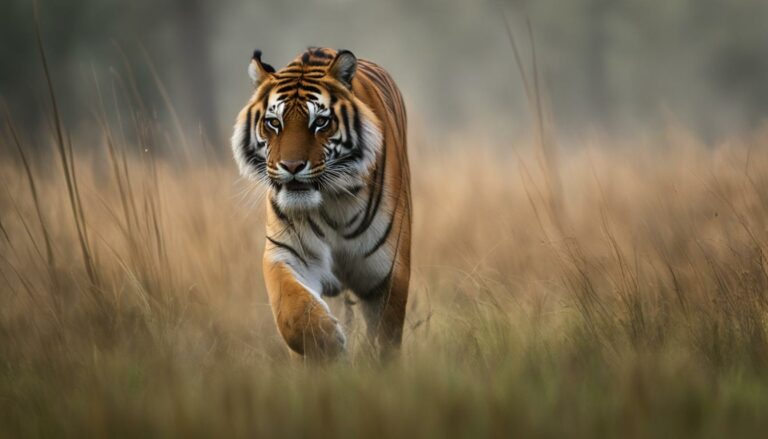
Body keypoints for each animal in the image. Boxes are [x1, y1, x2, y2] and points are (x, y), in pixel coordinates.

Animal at [230, 47, 411, 360]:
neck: (332, 203)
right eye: (274, 122)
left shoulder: (387, 272)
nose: (291, 166)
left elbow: (385, 341)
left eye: (320, 122)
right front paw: (329, 344)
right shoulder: (286, 253)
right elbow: (292, 311)